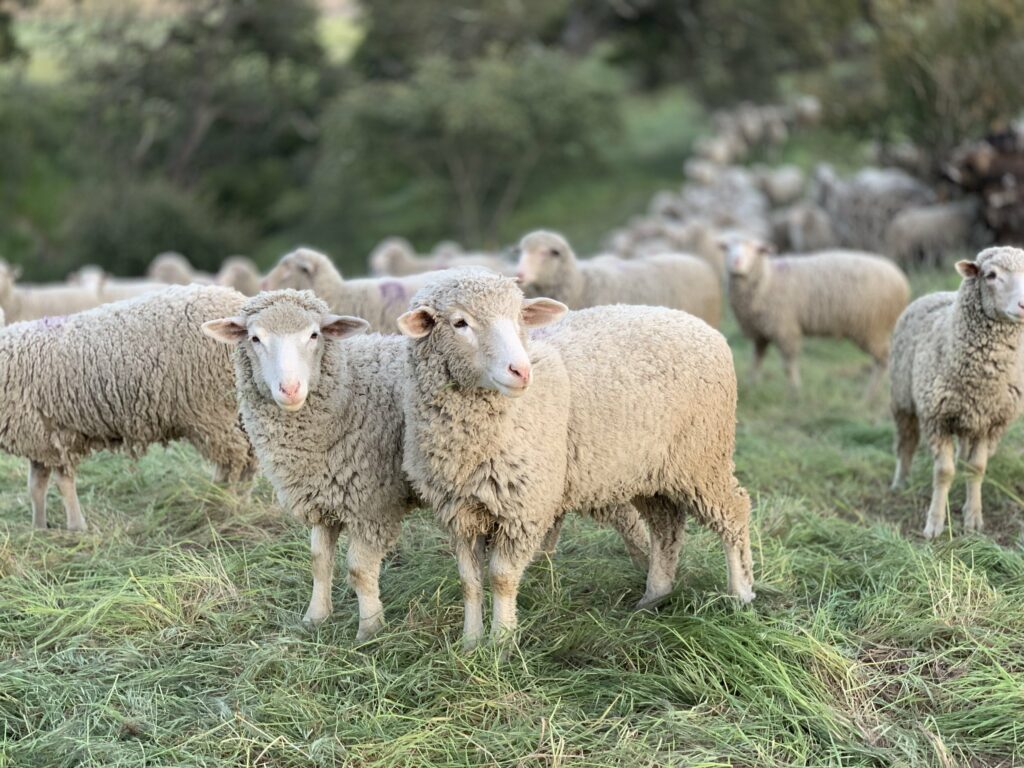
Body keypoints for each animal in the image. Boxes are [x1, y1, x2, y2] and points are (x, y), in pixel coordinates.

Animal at [0, 285, 256, 531]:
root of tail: (238, 300)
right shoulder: (38, 437)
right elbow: (36, 487)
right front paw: (39, 528)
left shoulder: (55, 435)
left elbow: (63, 483)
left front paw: (75, 527)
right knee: (249, 456)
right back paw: (237, 500)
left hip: (211, 410)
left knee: (234, 458)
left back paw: (223, 501)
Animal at [399, 269, 753, 645]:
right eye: (460, 323)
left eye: (519, 318)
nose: (521, 371)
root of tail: (703, 327)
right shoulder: (459, 511)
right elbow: (469, 582)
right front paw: (470, 642)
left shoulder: (524, 507)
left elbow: (501, 578)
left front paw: (501, 642)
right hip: (650, 469)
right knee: (666, 527)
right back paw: (654, 596)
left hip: (702, 457)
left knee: (734, 512)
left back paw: (740, 594)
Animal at [721, 236, 910, 392]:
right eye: (728, 248)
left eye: (755, 249)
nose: (736, 261)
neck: (768, 279)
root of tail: (901, 281)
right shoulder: (760, 333)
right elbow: (756, 360)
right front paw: (752, 385)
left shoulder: (785, 328)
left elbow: (789, 364)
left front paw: (795, 390)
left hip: (872, 328)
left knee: (883, 360)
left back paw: (869, 395)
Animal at [890, 247, 1024, 538]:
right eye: (991, 275)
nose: (1023, 305)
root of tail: (937, 292)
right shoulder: (936, 418)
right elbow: (944, 472)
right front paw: (935, 523)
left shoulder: (990, 421)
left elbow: (976, 468)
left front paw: (973, 517)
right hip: (902, 399)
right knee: (906, 444)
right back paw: (900, 483)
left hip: (968, 418)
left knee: (963, 452)